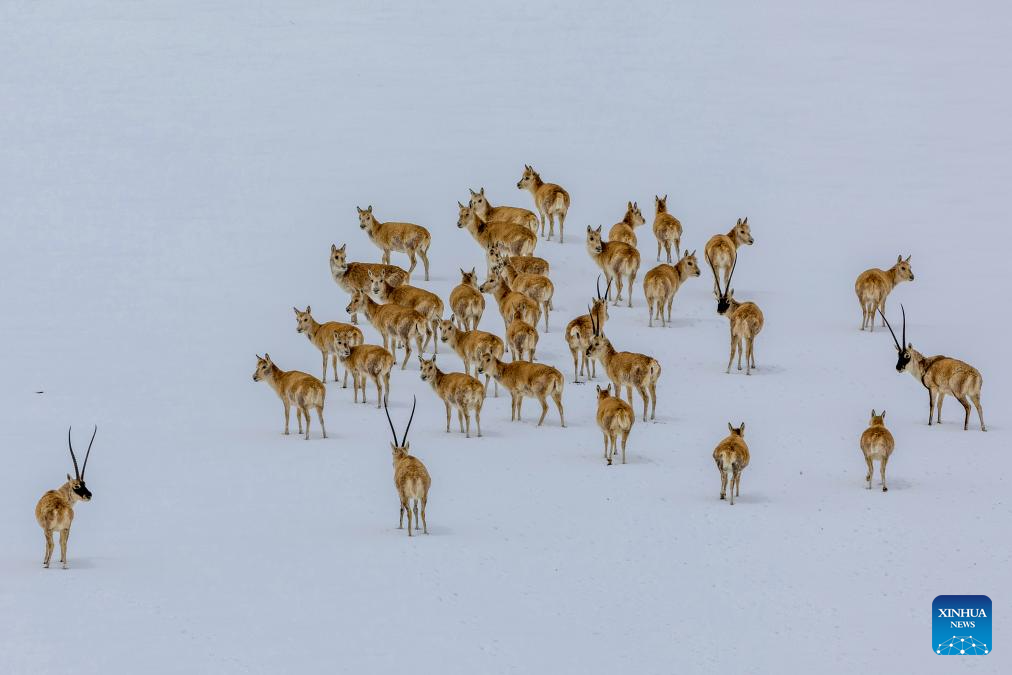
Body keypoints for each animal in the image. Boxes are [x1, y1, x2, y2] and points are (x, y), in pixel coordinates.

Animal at [36, 427, 96, 569]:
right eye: (77, 485)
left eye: (83, 484)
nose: (89, 495)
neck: (59, 493)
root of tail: (59, 508)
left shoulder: (46, 529)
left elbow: (47, 545)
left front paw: (45, 561)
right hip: (65, 529)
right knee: (63, 544)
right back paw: (65, 565)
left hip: (49, 530)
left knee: (52, 544)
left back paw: (47, 565)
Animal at [384, 398, 430, 536]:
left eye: (392, 453)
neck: (404, 458)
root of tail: (414, 476)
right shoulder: (415, 497)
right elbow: (416, 509)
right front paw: (417, 527)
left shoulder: (400, 494)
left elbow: (401, 509)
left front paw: (399, 527)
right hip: (423, 496)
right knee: (421, 511)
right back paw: (425, 531)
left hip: (405, 496)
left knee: (408, 511)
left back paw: (409, 534)